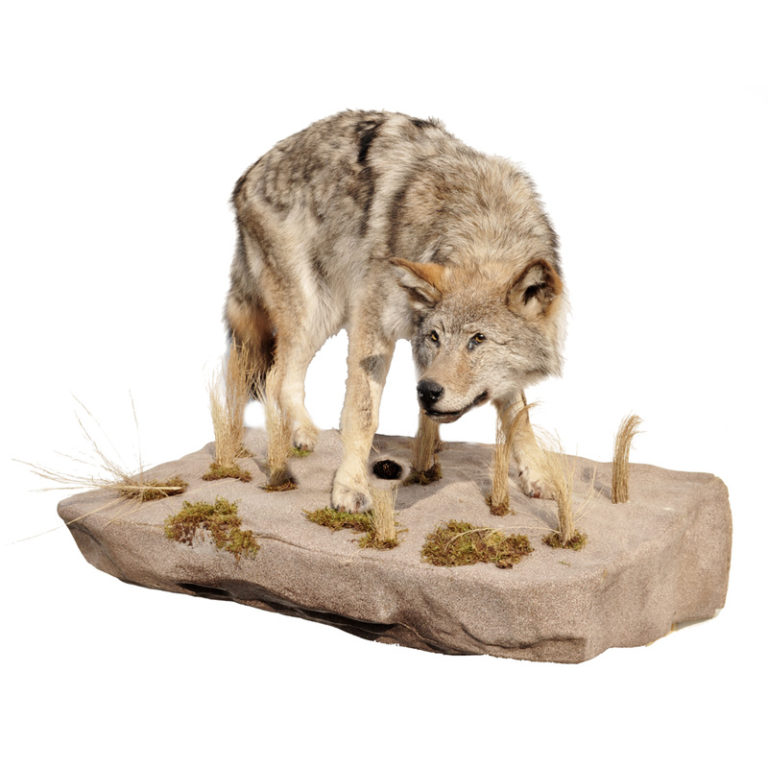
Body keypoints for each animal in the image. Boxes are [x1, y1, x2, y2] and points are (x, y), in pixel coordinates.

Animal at [226, 110, 565, 512]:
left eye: (478, 340)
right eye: (436, 336)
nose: (428, 392)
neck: (483, 228)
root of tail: (246, 176)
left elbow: (519, 416)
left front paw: (538, 476)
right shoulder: (372, 325)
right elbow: (362, 414)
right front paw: (349, 487)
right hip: (316, 312)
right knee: (275, 378)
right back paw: (291, 448)